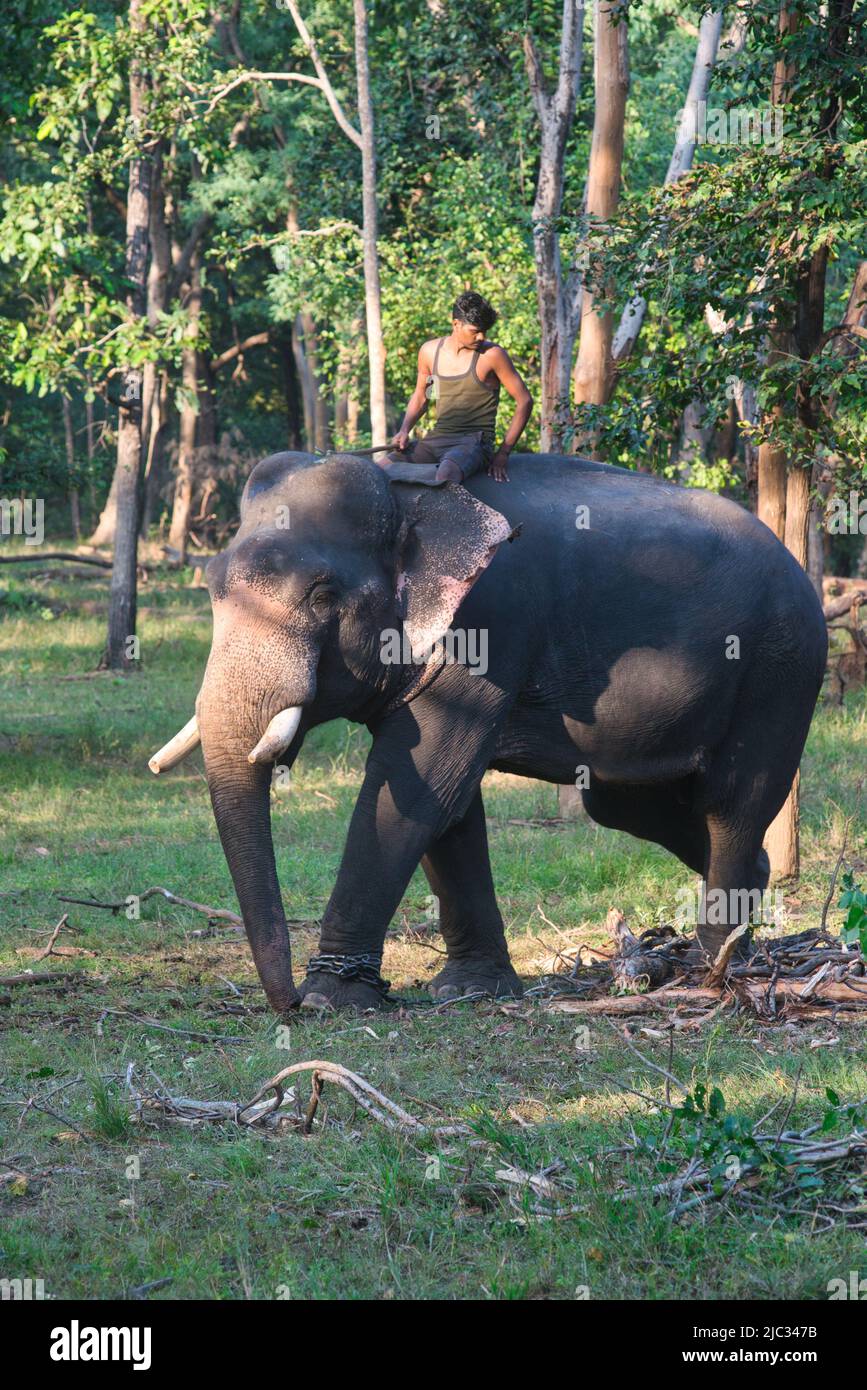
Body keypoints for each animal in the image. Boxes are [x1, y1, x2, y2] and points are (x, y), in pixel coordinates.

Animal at [147, 450, 828, 1017]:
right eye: (211, 587)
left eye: (321, 594)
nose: (284, 1003)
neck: (406, 495)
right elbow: (447, 804)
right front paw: (470, 991)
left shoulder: (486, 628)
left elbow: (418, 790)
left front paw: (329, 999)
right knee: (626, 804)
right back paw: (751, 903)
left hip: (780, 671)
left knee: (732, 801)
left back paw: (714, 967)